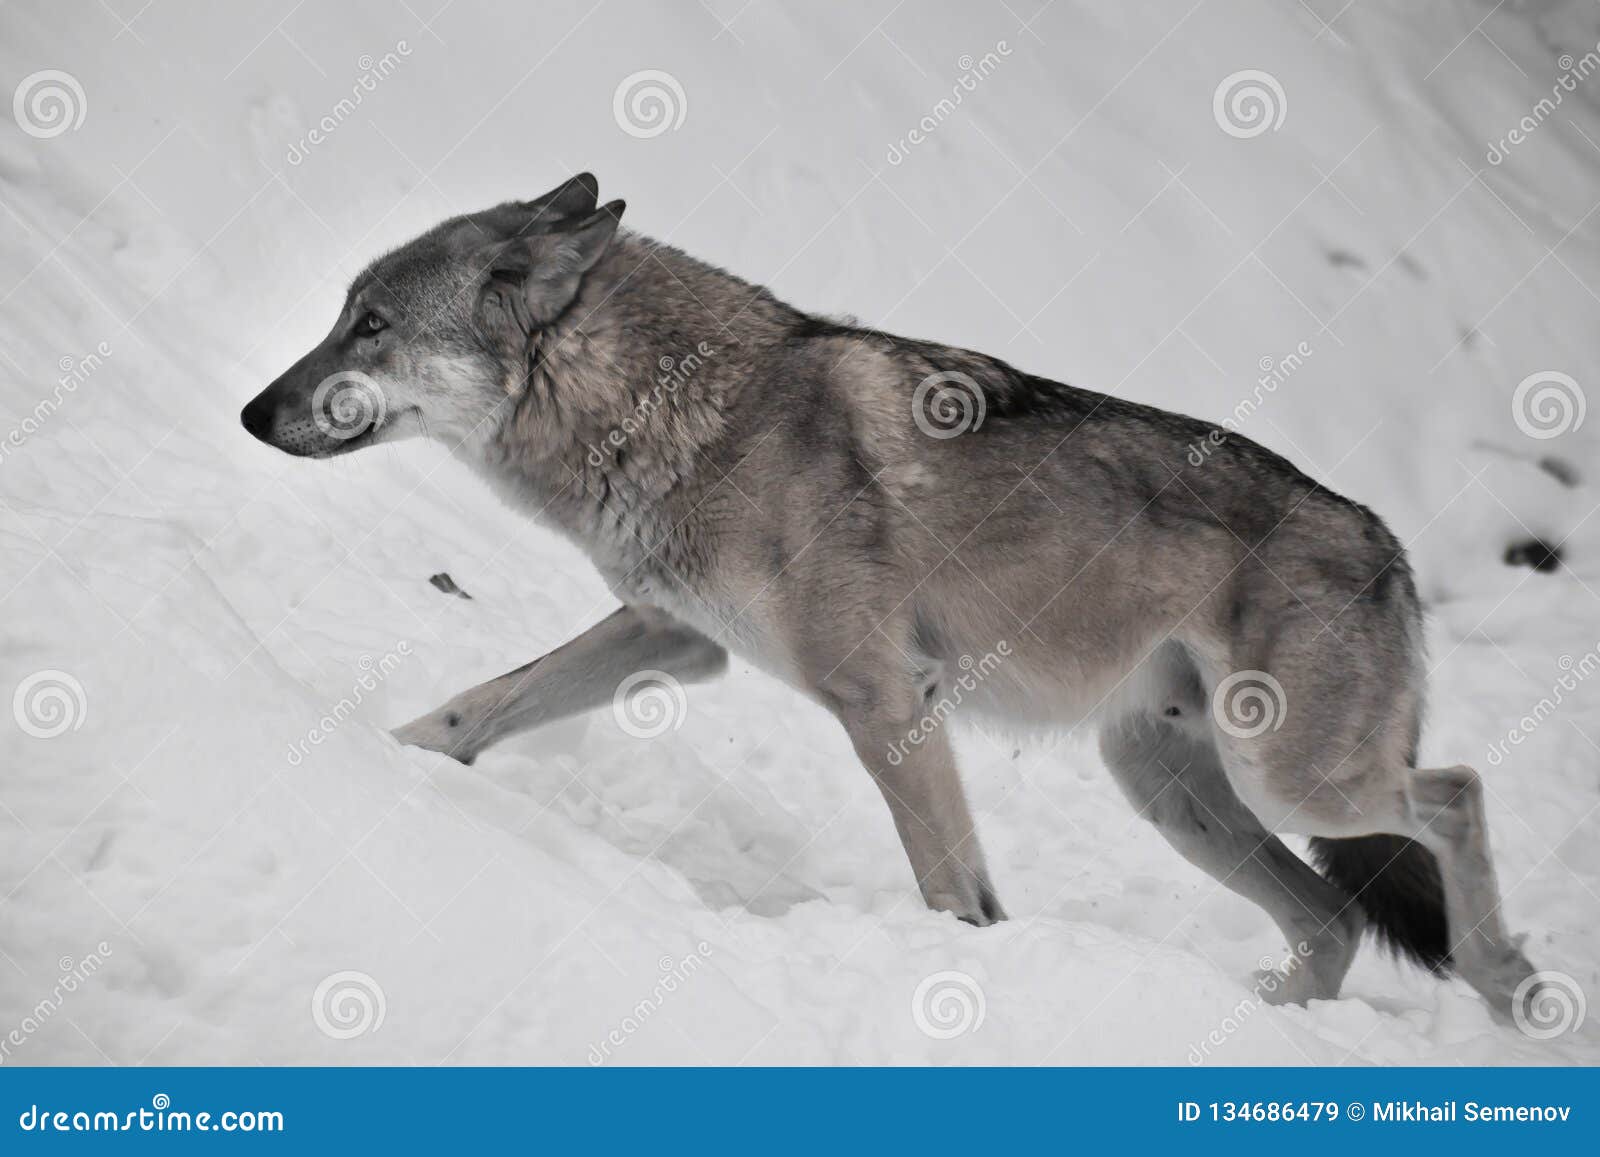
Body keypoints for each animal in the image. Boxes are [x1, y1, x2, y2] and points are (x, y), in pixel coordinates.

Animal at [242, 173, 1541, 1018]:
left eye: (371, 325)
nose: (253, 411)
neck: (683, 408)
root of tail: (1390, 547)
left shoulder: (882, 699)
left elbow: (950, 888)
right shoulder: (673, 635)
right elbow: (479, 706)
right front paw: (382, 762)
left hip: (1291, 778)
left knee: (1457, 793)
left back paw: (1506, 984)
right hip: (1172, 790)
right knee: (1331, 917)